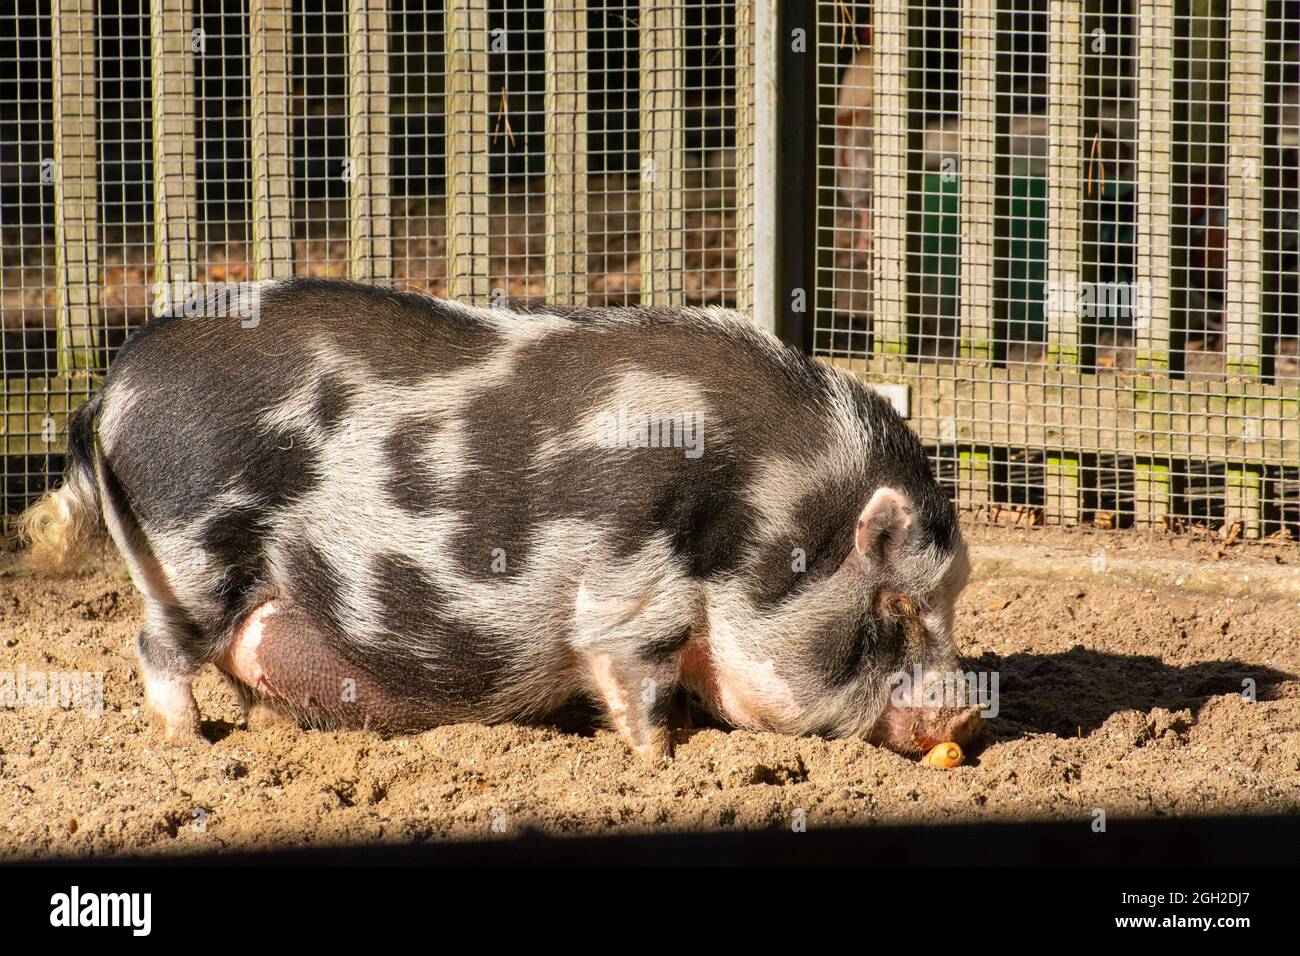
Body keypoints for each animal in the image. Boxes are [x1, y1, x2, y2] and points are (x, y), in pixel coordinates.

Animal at [20, 277, 981, 759]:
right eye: (897, 606)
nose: (969, 718)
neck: (761, 511)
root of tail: (113, 383)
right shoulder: (630, 587)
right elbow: (631, 672)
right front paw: (659, 763)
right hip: (191, 549)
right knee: (157, 646)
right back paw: (193, 744)